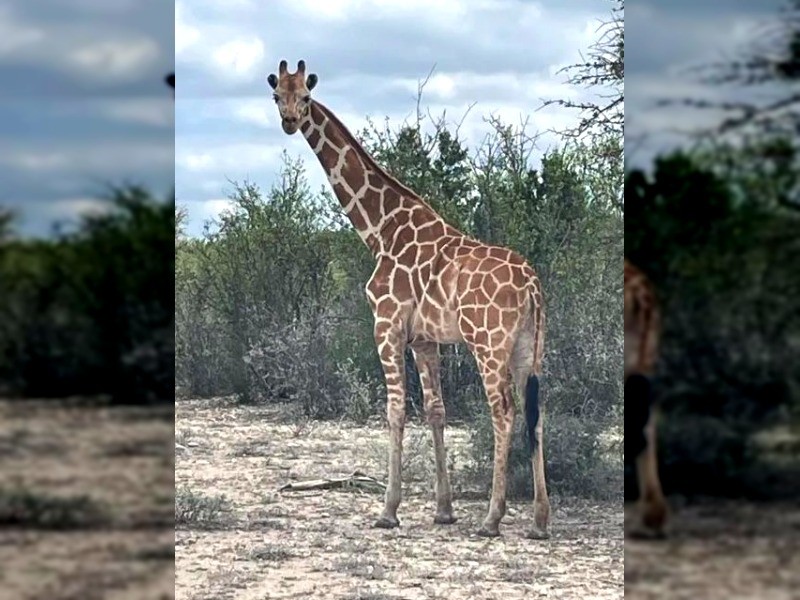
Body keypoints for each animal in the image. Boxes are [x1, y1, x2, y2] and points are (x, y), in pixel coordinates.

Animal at [267, 59, 549, 538]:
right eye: (276, 96)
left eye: (305, 96)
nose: (288, 121)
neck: (380, 230)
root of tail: (532, 284)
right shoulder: (424, 338)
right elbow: (436, 410)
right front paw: (443, 509)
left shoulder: (386, 325)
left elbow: (395, 409)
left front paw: (388, 510)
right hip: (530, 346)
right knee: (536, 412)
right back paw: (540, 520)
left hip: (488, 343)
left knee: (504, 411)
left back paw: (492, 518)